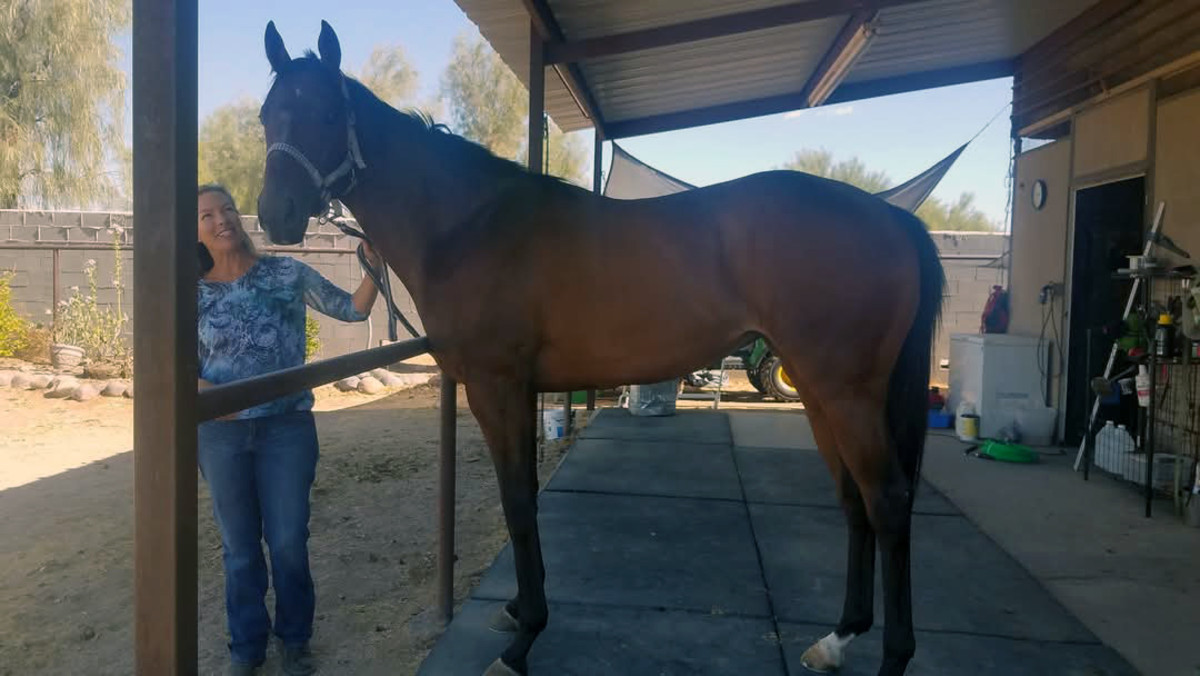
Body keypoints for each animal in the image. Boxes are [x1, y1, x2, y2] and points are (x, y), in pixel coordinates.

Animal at [254, 21, 944, 676]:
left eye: (325, 113)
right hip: (820, 391)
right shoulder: (514, 392)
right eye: (267, 116)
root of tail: (894, 220)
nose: (276, 215)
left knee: (888, 501)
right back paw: (837, 639)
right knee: (854, 499)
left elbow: (518, 500)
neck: (471, 224)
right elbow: (525, 494)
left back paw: (894, 655)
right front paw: (519, 611)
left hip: (846, 394)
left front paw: (523, 641)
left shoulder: (497, 387)